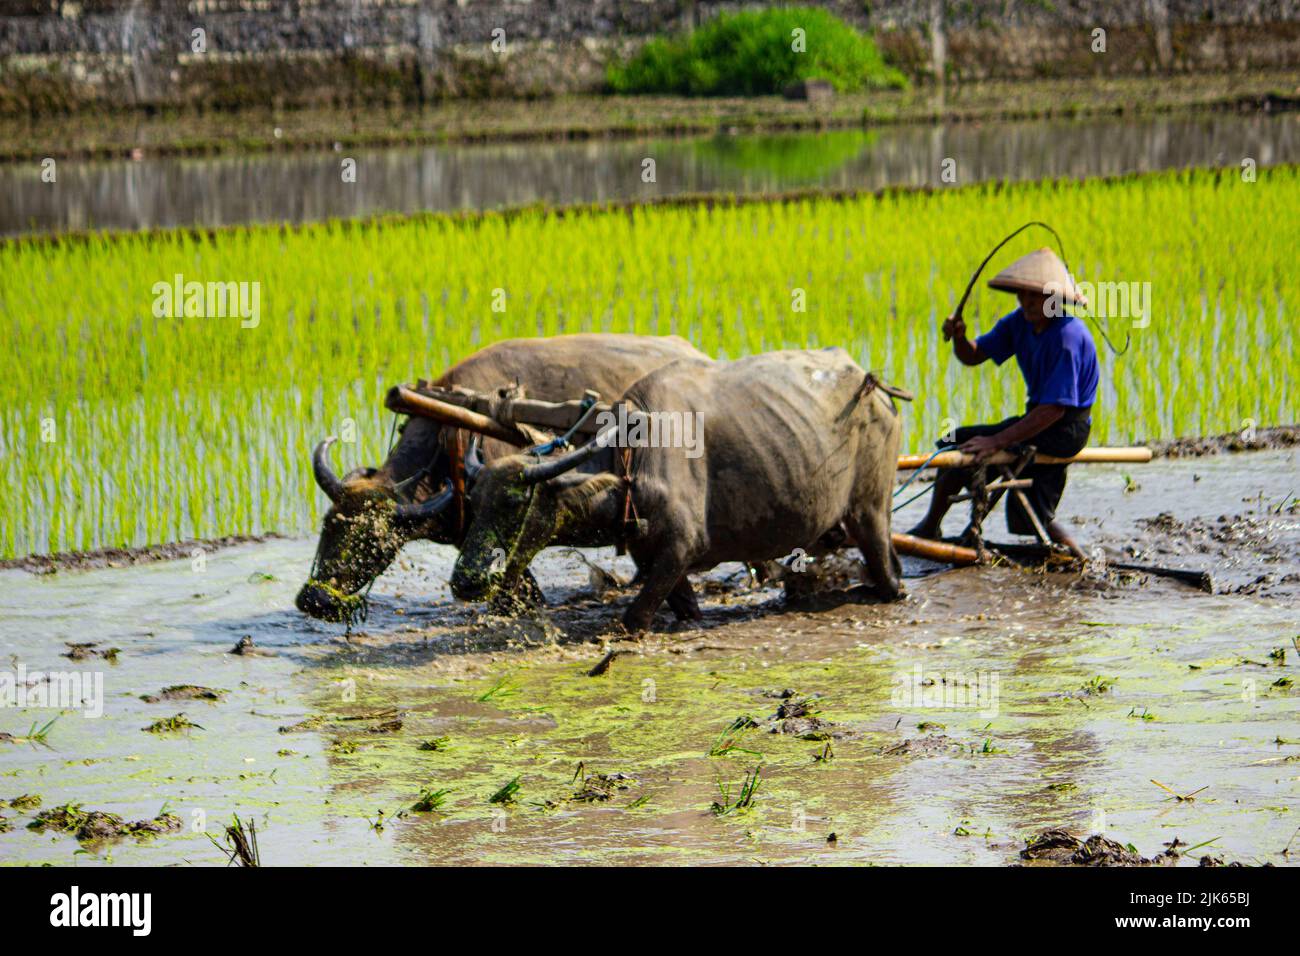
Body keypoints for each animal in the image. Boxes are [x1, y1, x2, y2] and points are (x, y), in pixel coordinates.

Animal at [449, 348, 905, 632]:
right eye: (474, 503)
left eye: (515, 504)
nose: (466, 582)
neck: (632, 456)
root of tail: (872, 385)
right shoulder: (654, 554)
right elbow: (683, 605)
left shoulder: (681, 546)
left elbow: (633, 620)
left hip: (870, 507)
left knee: (885, 562)